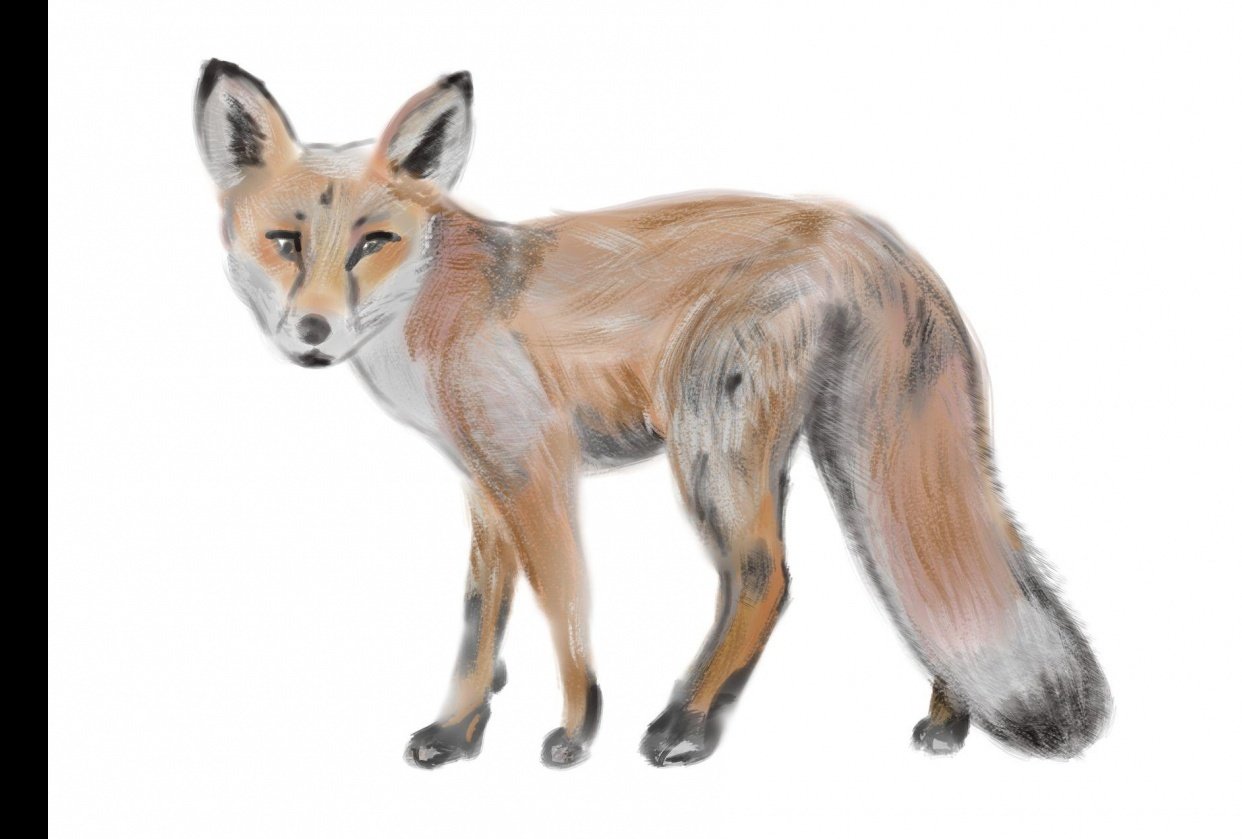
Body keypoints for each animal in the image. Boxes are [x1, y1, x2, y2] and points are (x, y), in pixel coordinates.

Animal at [194, 59, 1111, 769]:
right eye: (286, 242)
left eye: (371, 243)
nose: (314, 332)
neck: (428, 305)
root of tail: (867, 233)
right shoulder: (485, 484)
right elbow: (480, 621)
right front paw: (456, 732)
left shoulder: (535, 465)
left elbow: (564, 606)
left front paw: (573, 732)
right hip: (862, 451)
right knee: (944, 571)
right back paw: (949, 722)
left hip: (712, 448)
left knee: (766, 578)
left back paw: (687, 725)